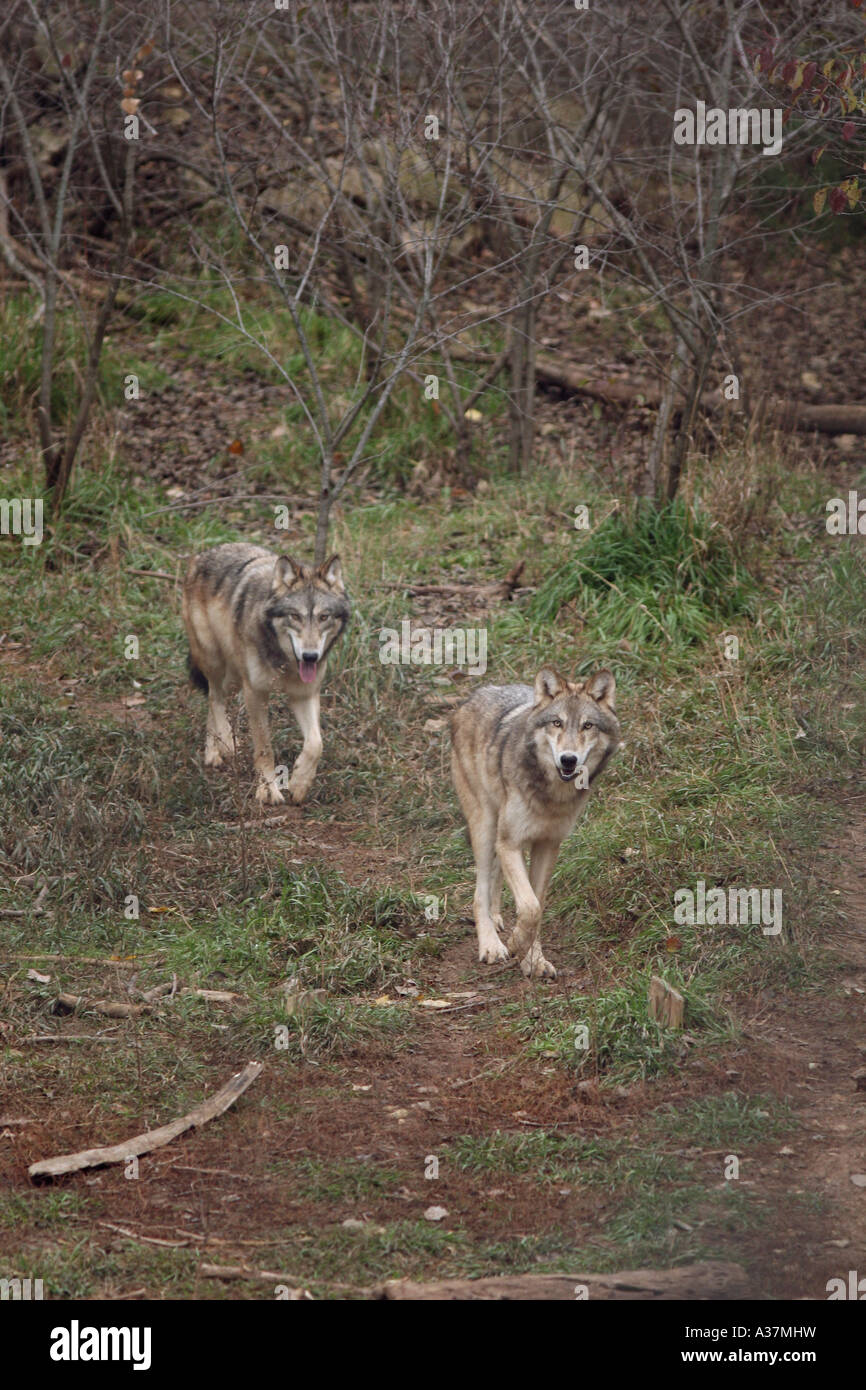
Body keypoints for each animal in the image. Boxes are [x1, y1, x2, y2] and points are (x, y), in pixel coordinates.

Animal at [182, 543, 350, 805]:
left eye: (324, 617)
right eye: (295, 616)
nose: (310, 657)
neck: (283, 660)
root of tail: (201, 555)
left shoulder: (304, 695)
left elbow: (316, 744)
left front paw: (299, 783)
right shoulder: (255, 693)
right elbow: (264, 748)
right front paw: (268, 790)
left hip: (234, 675)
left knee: (213, 698)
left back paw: (214, 750)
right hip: (216, 661)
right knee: (214, 698)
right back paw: (224, 744)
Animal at [450, 666, 620, 979]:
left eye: (588, 726)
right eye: (557, 723)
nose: (568, 759)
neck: (552, 795)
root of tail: (475, 694)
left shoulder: (548, 845)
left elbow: (537, 906)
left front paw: (534, 960)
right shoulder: (511, 843)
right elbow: (530, 907)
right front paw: (515, 944)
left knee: (494, 880)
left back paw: (497, 920)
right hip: (485, 826)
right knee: (479, 892)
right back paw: (490, 945)